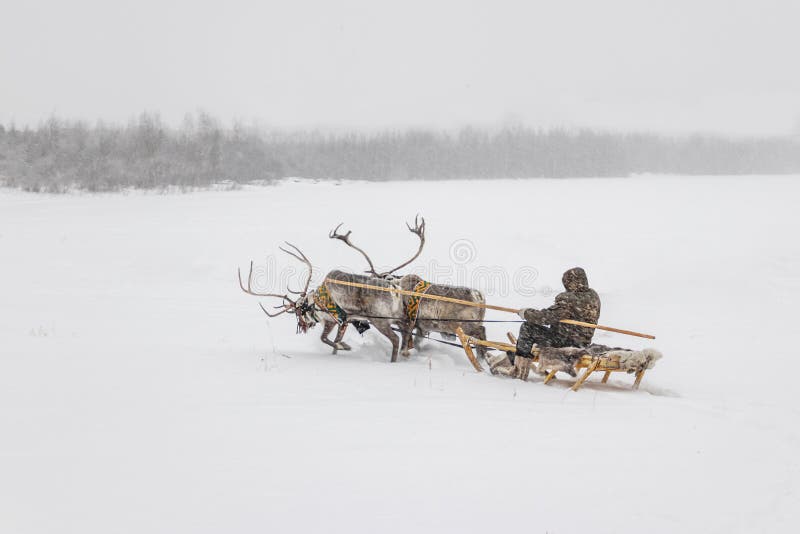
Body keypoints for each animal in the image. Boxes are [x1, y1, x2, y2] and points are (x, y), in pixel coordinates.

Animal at [238, 242, 407, 362]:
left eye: (300, 313)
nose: (303, 325)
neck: (314, 303)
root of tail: (394, 288)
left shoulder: (331, 320)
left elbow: (324, 339)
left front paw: (345, 346)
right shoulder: (344, 322)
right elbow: (335, 341)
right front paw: (337, 351)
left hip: (379, 320)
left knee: (396, 339)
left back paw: (393, 361)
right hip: (397, 317)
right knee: (406, 331)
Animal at [328, 216, 489, 359]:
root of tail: (479, 297)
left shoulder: (409, 323)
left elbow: (407, 343)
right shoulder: (421, 327)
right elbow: (415, 343)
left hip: (461, 324)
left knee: (481, 333)